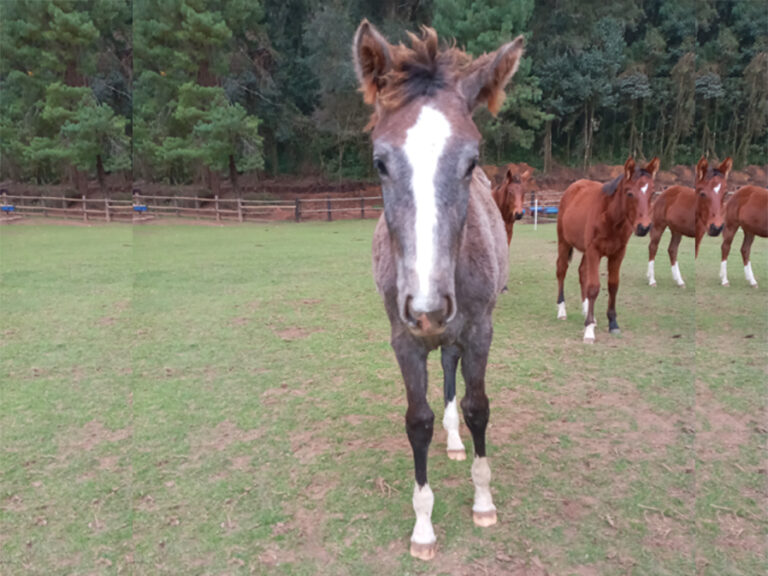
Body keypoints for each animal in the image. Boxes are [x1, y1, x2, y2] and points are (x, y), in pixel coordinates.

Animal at [353, 21, 523, 560]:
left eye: (472, 160)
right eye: (380, 162)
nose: (428, 307)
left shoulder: (480, 330)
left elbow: (477, 407)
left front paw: (484, 502)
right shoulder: (403, 338)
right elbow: (418, 421)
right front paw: (423, 528)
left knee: (451, 369)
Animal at [556, 157, 659, 343]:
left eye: (652, 193)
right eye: (629, 193)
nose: (644, 227)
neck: (610, 218)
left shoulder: (617, 253)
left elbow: (613, 285)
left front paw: (612, 323)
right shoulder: (594, 251)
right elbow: (594, 287)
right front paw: (589, 330)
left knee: (582, 272)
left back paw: (586, 311)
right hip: (564, 242)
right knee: (561, 270)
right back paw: (562, 311)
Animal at [647, 156, 732, 286]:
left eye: (725, 192)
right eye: (703, 193)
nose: (716, 228)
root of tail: (664, 193)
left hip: (676, 230)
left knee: (672, 250)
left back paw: (679, 281)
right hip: (658, 226)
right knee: (653, 247)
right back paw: (652, 280)